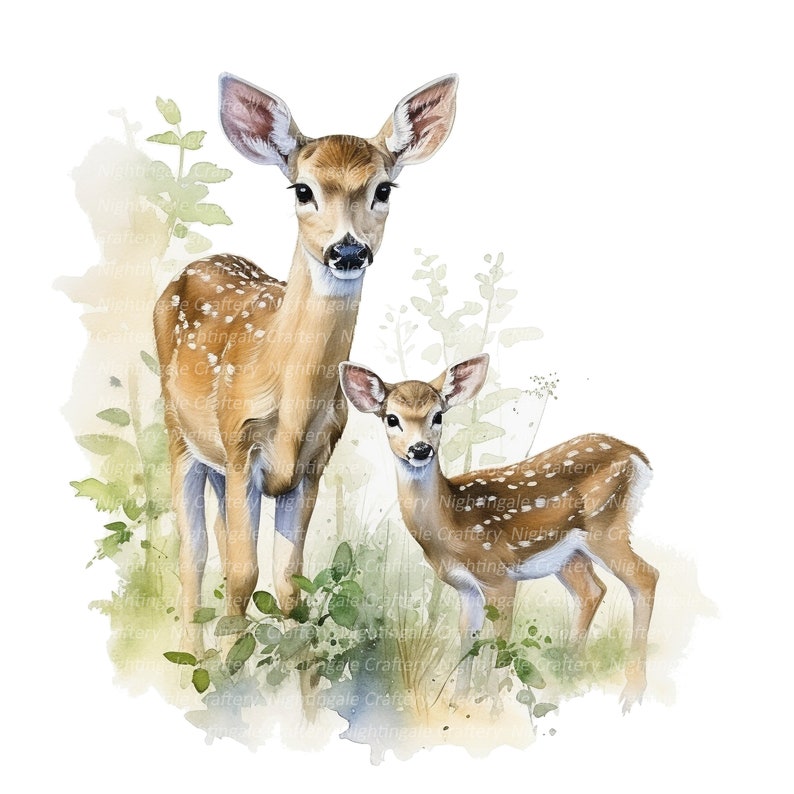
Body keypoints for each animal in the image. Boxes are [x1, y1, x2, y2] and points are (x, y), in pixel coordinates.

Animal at [154, 73, 458, 656]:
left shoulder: (313, 464)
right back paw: (194, 659)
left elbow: (288, 585)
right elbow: (243, 577)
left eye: (383, 189)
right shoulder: (241, 446)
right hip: (180, 433)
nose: (348, 251)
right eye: (302, 190)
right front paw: (228, 671)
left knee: (220, 547)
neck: (291, 403)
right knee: (193, 552)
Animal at [339, 354, 659, 711]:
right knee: (592, 591)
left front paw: (492, 705)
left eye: (438, 415)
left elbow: (500, 641)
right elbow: (467, 637)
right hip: (568, 553)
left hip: (606, 525)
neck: (451, 523)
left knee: (645, 577)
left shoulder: (498, 575)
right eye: (391, 418)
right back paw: (570, 675)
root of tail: (638, 457)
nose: (420, 449)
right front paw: (457, 703)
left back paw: (632, 691)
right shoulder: (465, 586)